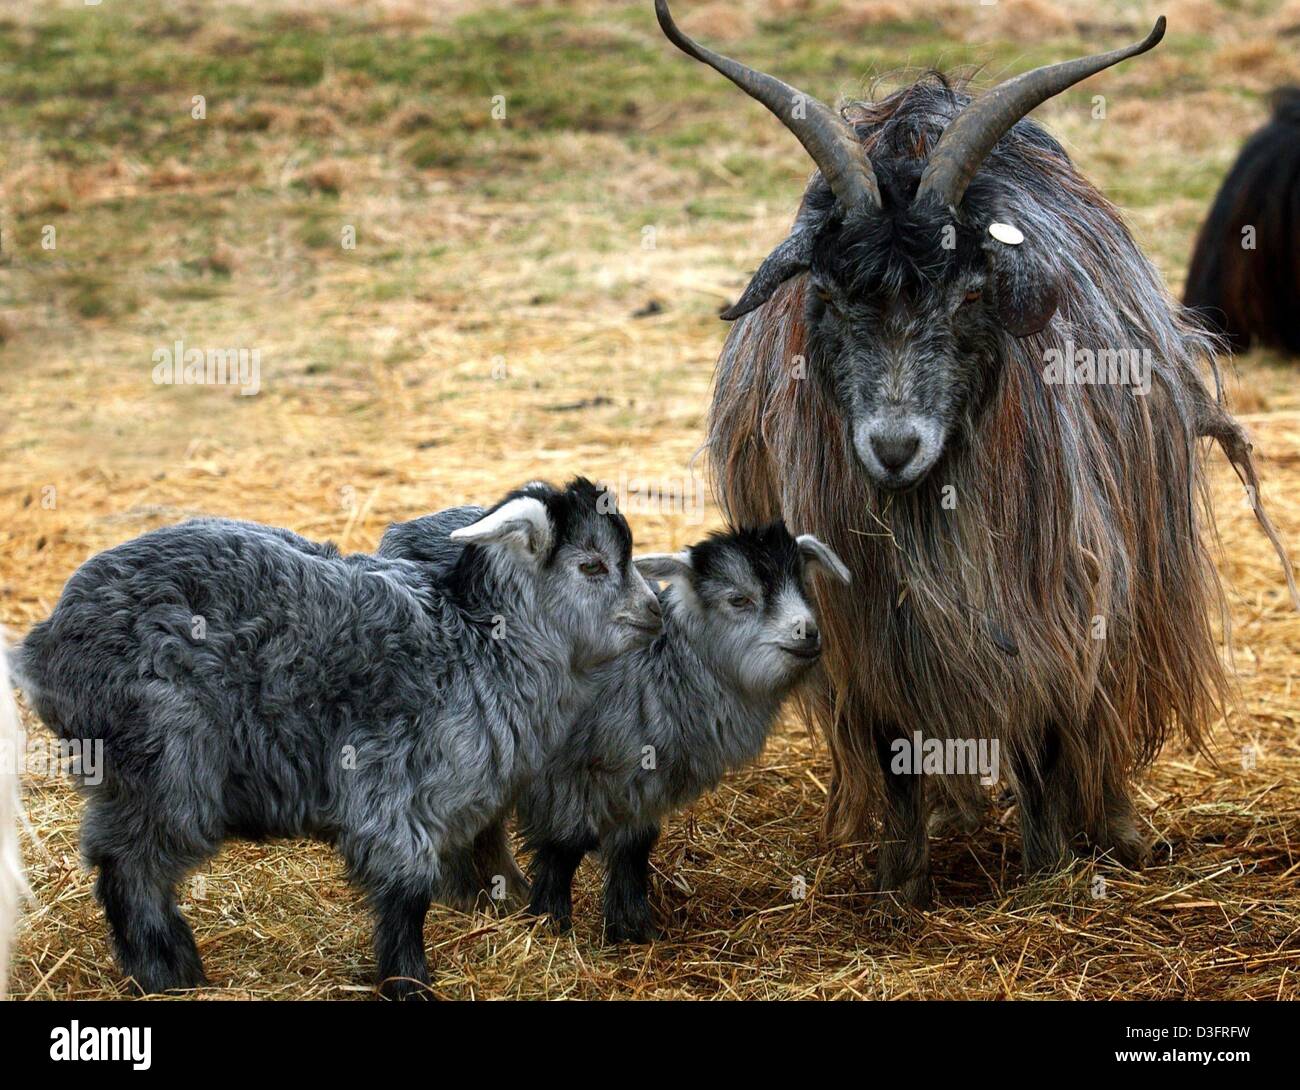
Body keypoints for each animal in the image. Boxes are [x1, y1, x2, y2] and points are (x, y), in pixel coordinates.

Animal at [13, 478, 661, 997]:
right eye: (594, 565)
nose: (655, 613)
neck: (475, 643)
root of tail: (45, 644)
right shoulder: (393, 792)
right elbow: (405, 892)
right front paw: (410, 983)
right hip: (162, 764)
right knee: (132, 870)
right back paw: (172, 977)